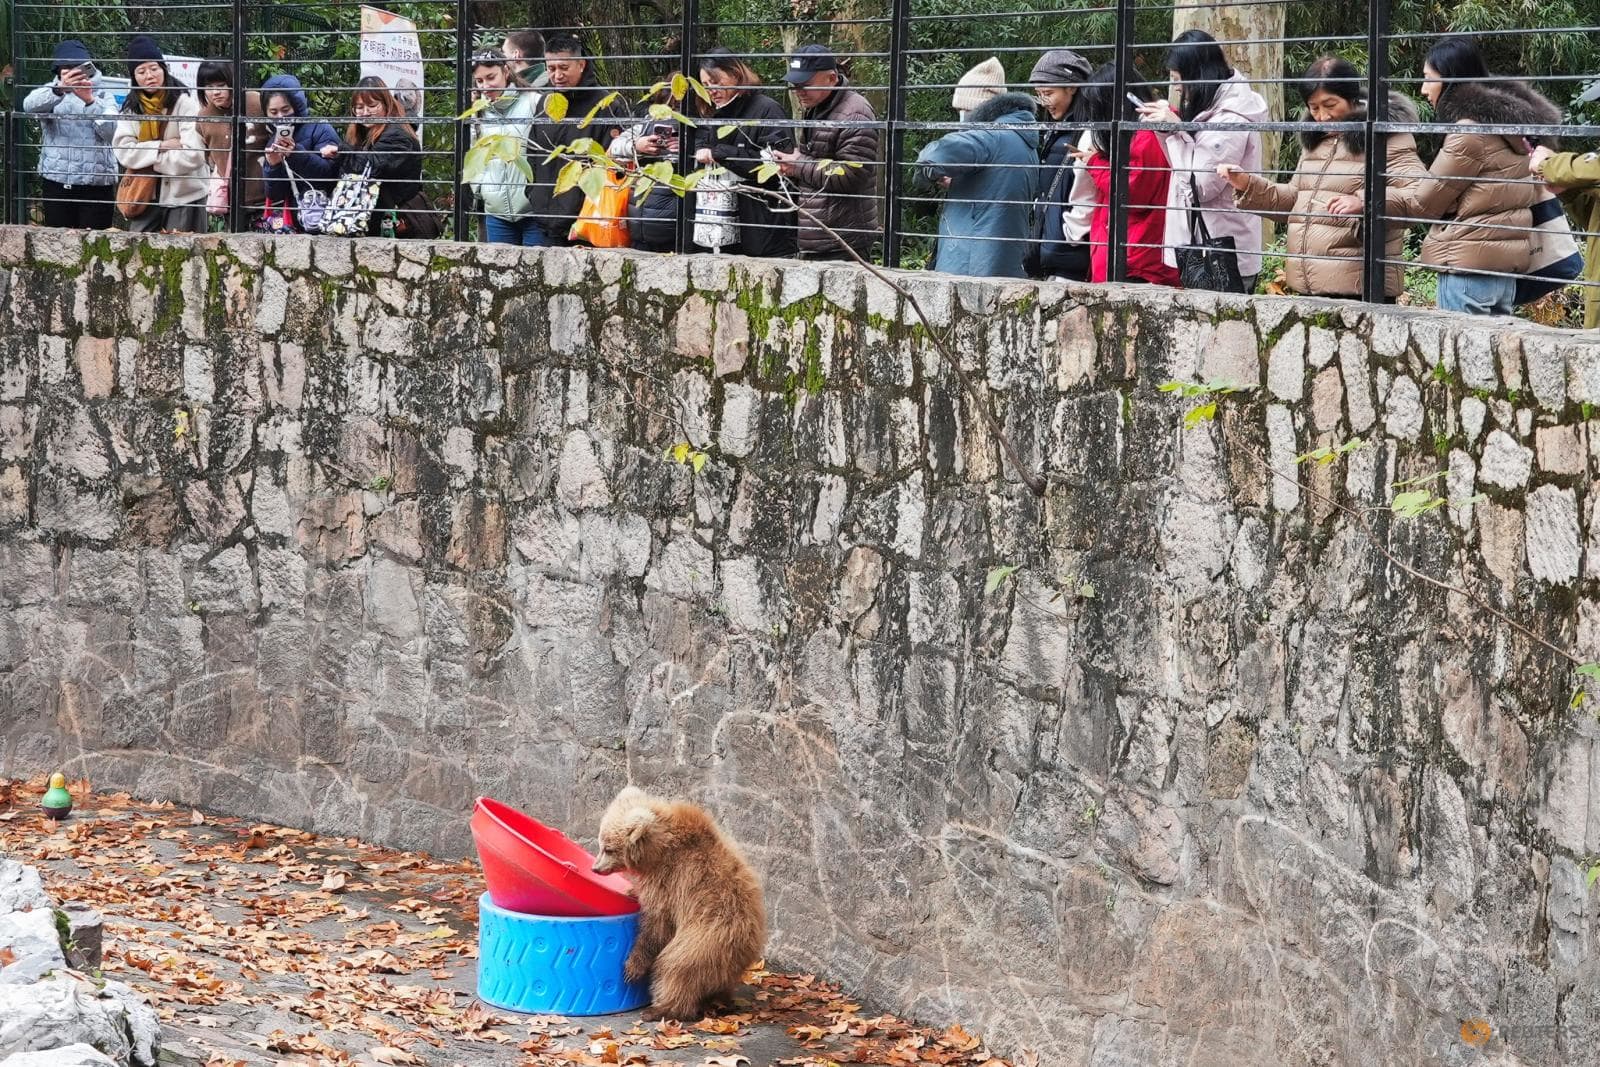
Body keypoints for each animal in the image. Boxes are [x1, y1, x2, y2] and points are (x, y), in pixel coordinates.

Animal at [591, 785, 766, 1021]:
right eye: (601, 843)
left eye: (608, 848)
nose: (596, 868)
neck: (657, 852)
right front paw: (630, 890)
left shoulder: (672, 882)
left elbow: (657, 925)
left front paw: (632, 968)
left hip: (708, 937)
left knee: (677, 967)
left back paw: (662, 1009)